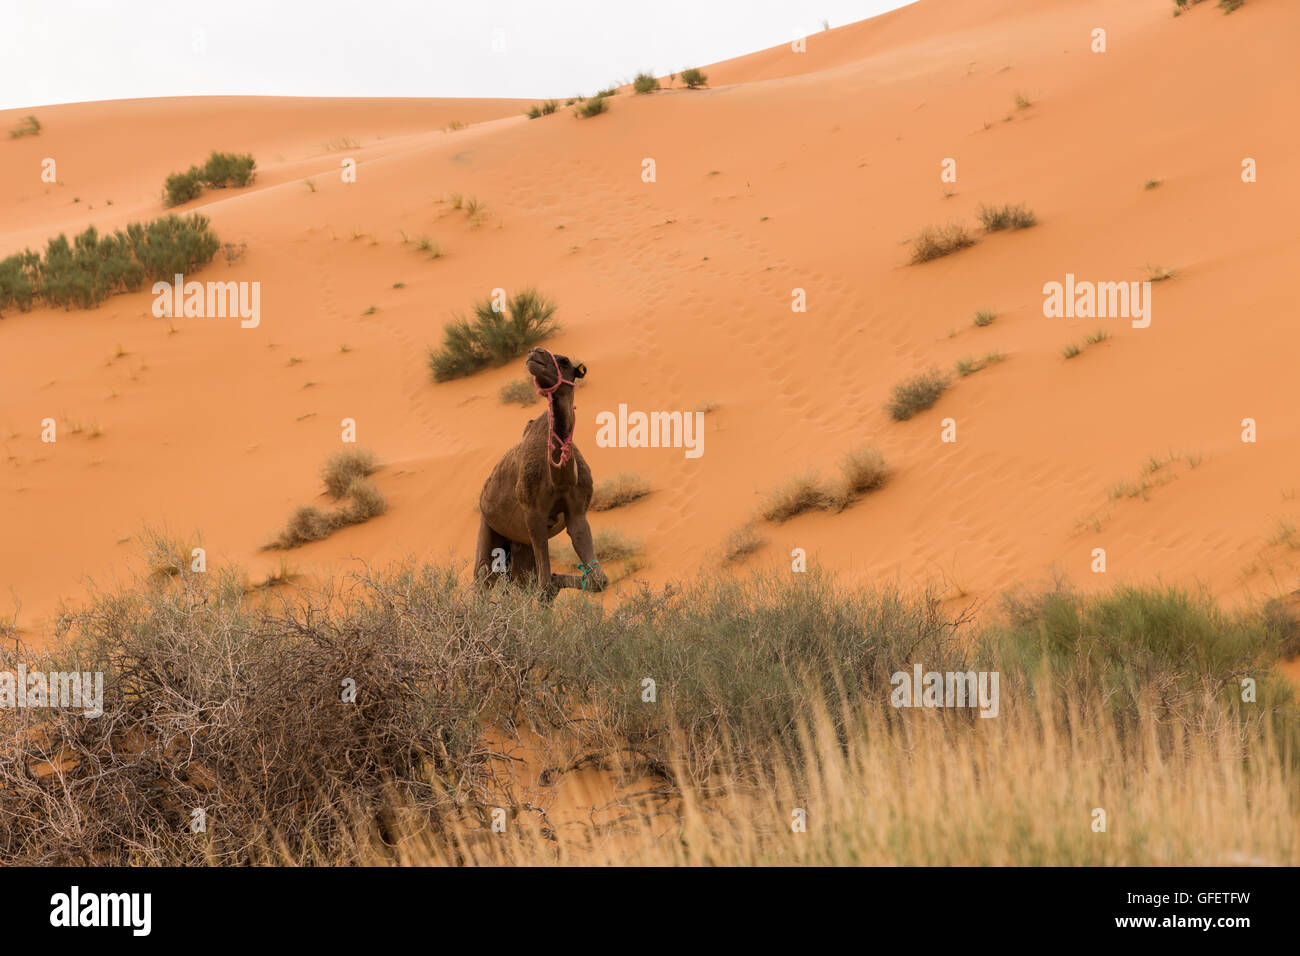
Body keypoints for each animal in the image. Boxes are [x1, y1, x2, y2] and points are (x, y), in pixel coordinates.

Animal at [475, 347, 608, 598]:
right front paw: (553, 582)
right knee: (483, 578)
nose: (535, 352)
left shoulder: (577, 511)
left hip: (520, 543)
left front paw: (558, 580)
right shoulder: (533, 512)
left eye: (564, 361)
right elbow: (543, 586)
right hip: (488, 525)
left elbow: (599, 580)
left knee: (520, 580)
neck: (559, 480)